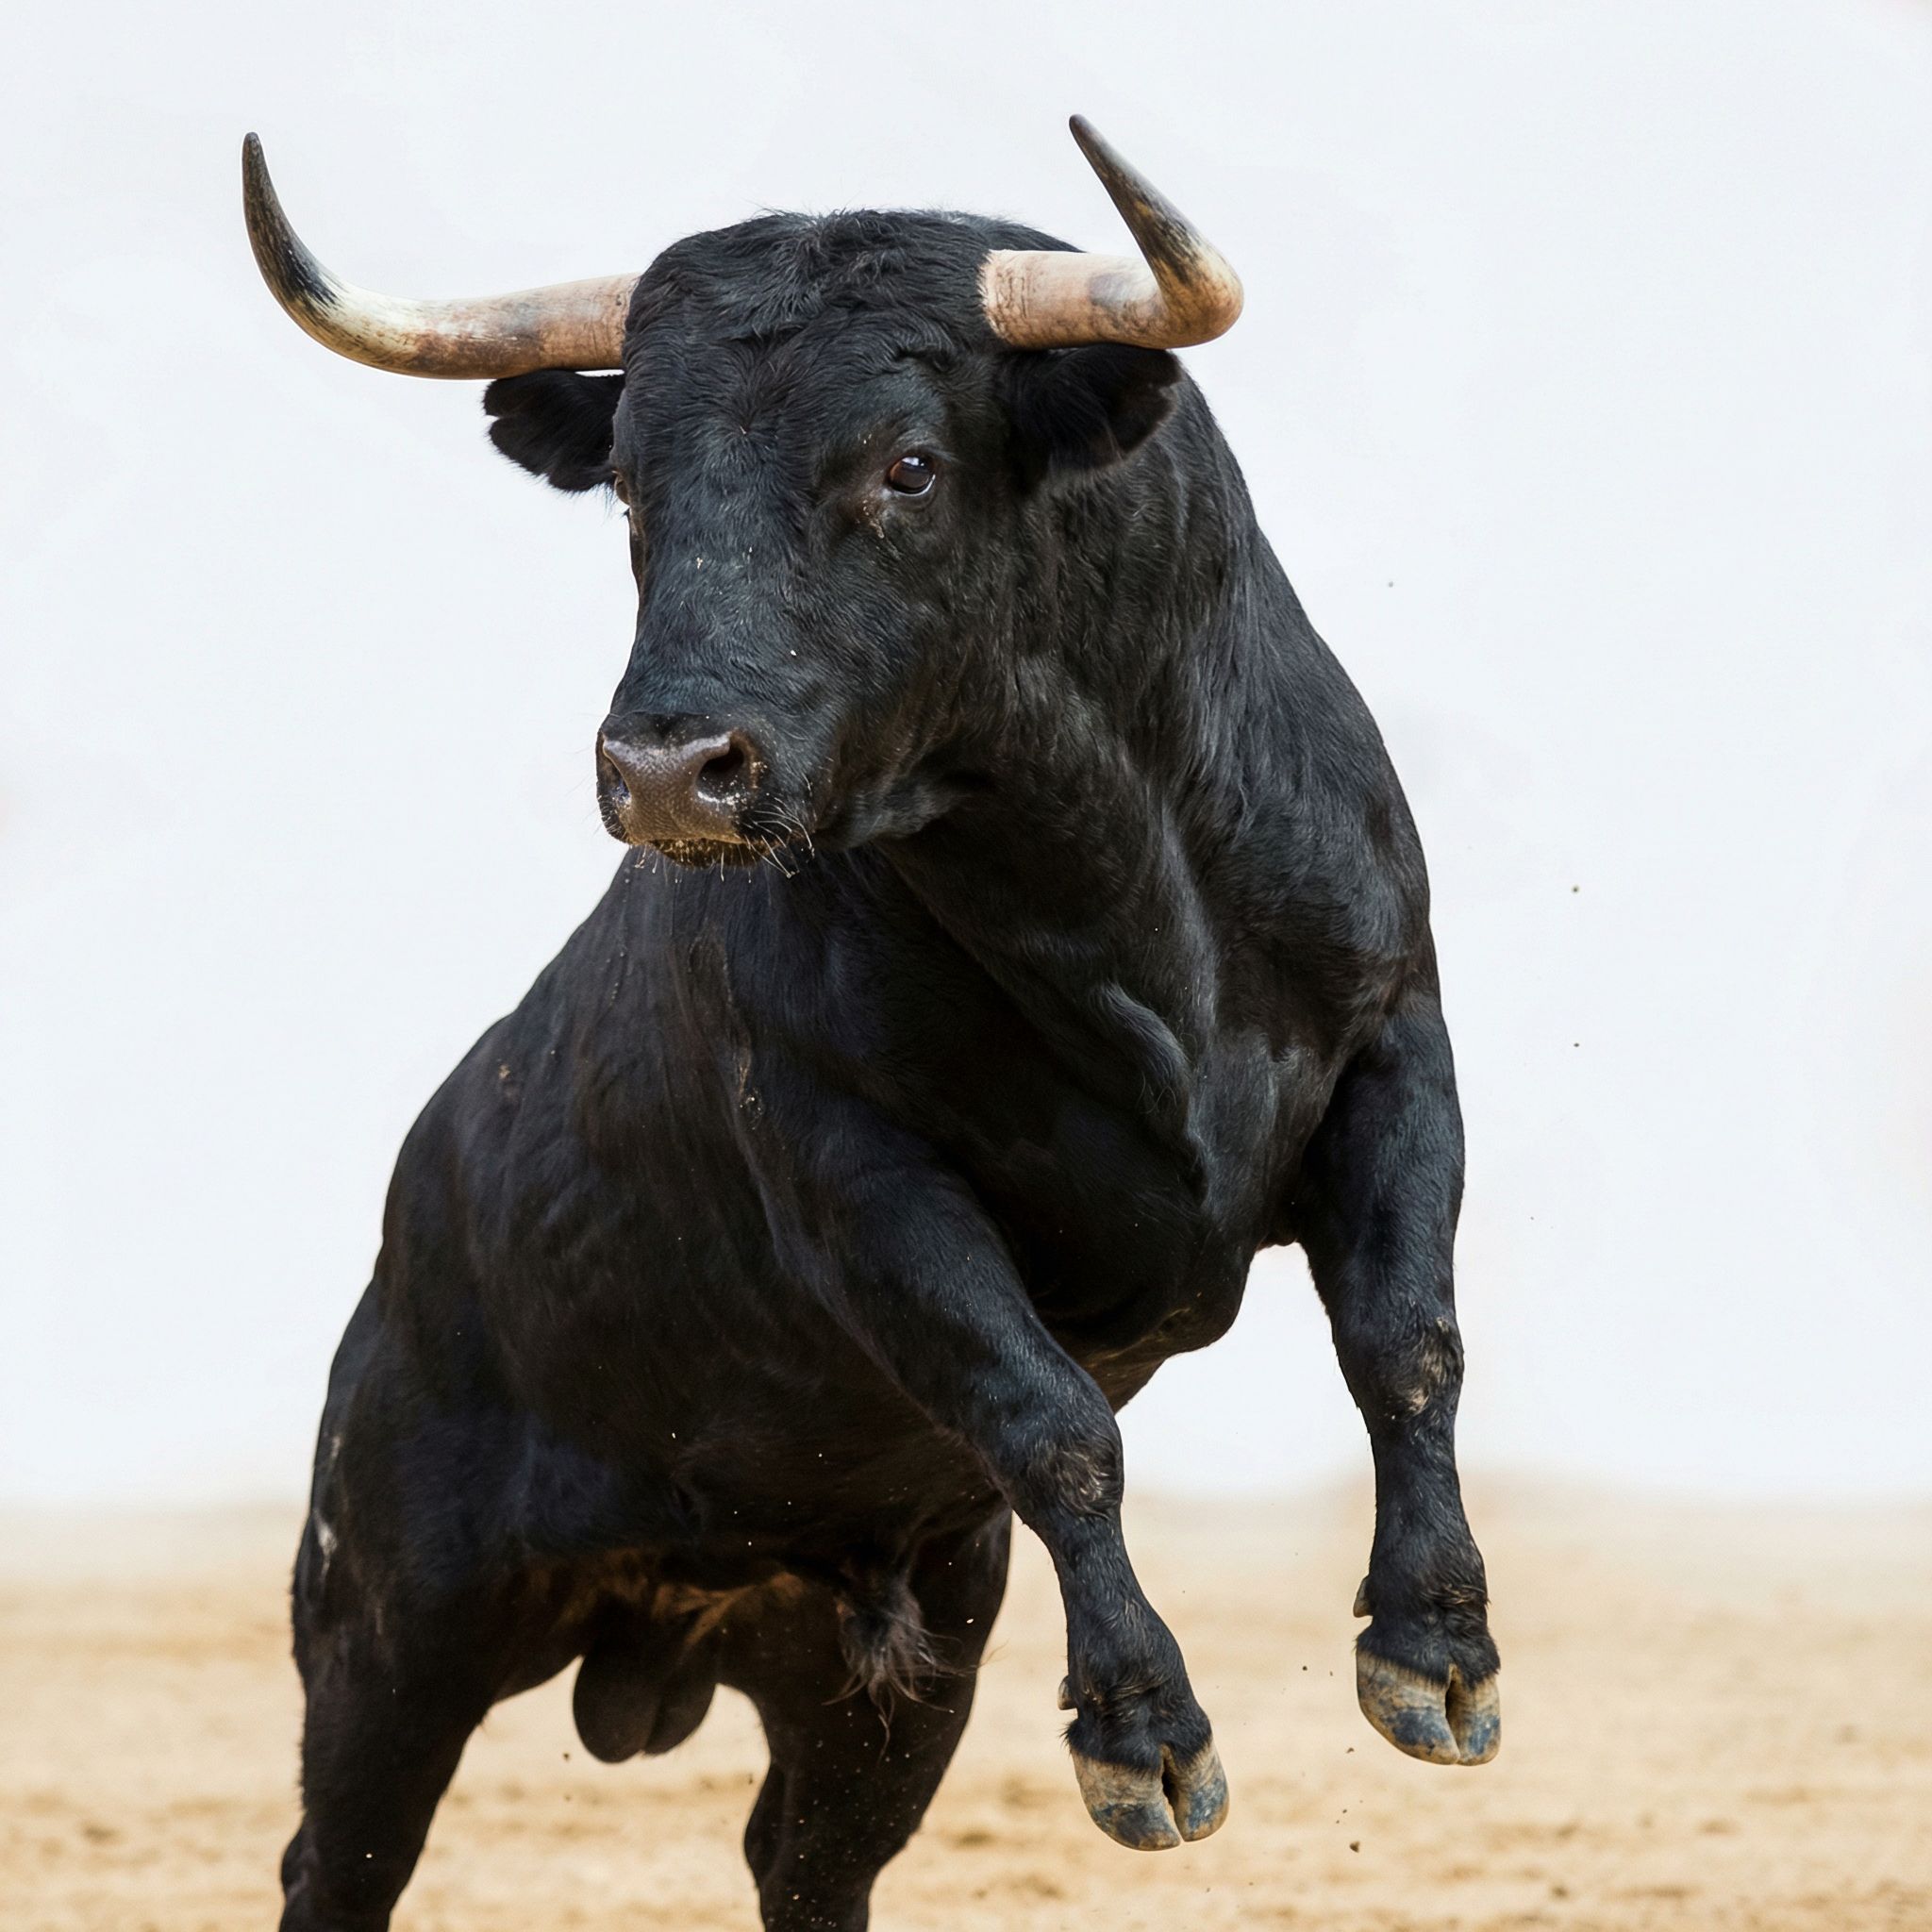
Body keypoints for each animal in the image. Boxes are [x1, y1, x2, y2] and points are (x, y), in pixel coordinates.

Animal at [242, 117, 1500, 1932]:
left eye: (906, 466)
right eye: (632, 483)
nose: (668, 772)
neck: (1124, 897)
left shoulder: (1395, 1043)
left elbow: (1404, 1336)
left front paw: (1435, 1648)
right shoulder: (858, 1174)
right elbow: (1052, 1420)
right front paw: (1146, 1736)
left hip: (884, 1674)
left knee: (805, 1862)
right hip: (386, 1619)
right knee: (340, 1860)